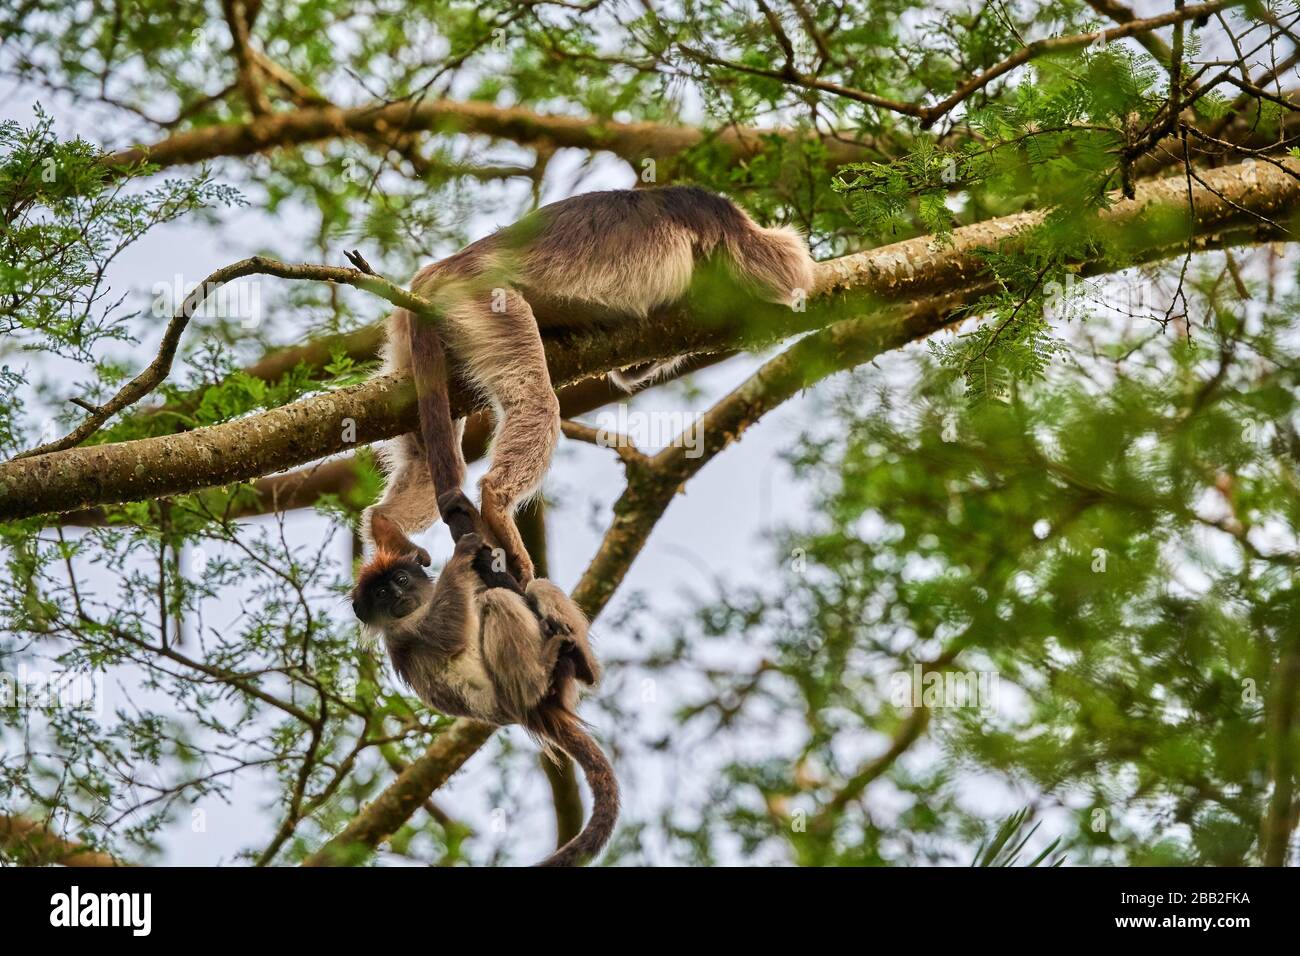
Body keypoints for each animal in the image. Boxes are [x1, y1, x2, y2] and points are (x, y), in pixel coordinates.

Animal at [352, 507, 617, 868]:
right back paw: (547, 664)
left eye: (401, 580)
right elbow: (449, 628)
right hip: (515, 686)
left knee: (535, 587)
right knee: (497, 599)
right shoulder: (404, 633)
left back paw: (584, 666)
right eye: (380, 594)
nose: (396, 595)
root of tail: (533, 711)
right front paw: (461, 554)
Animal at [363, 185, 816, 583]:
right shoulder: (712, 211)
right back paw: (496, 503)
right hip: (486, 301)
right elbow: (787, 277)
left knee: (424, 453)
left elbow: (628, 372)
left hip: (408, 336)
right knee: (536, 402)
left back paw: (386, 522)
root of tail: (439, 271)